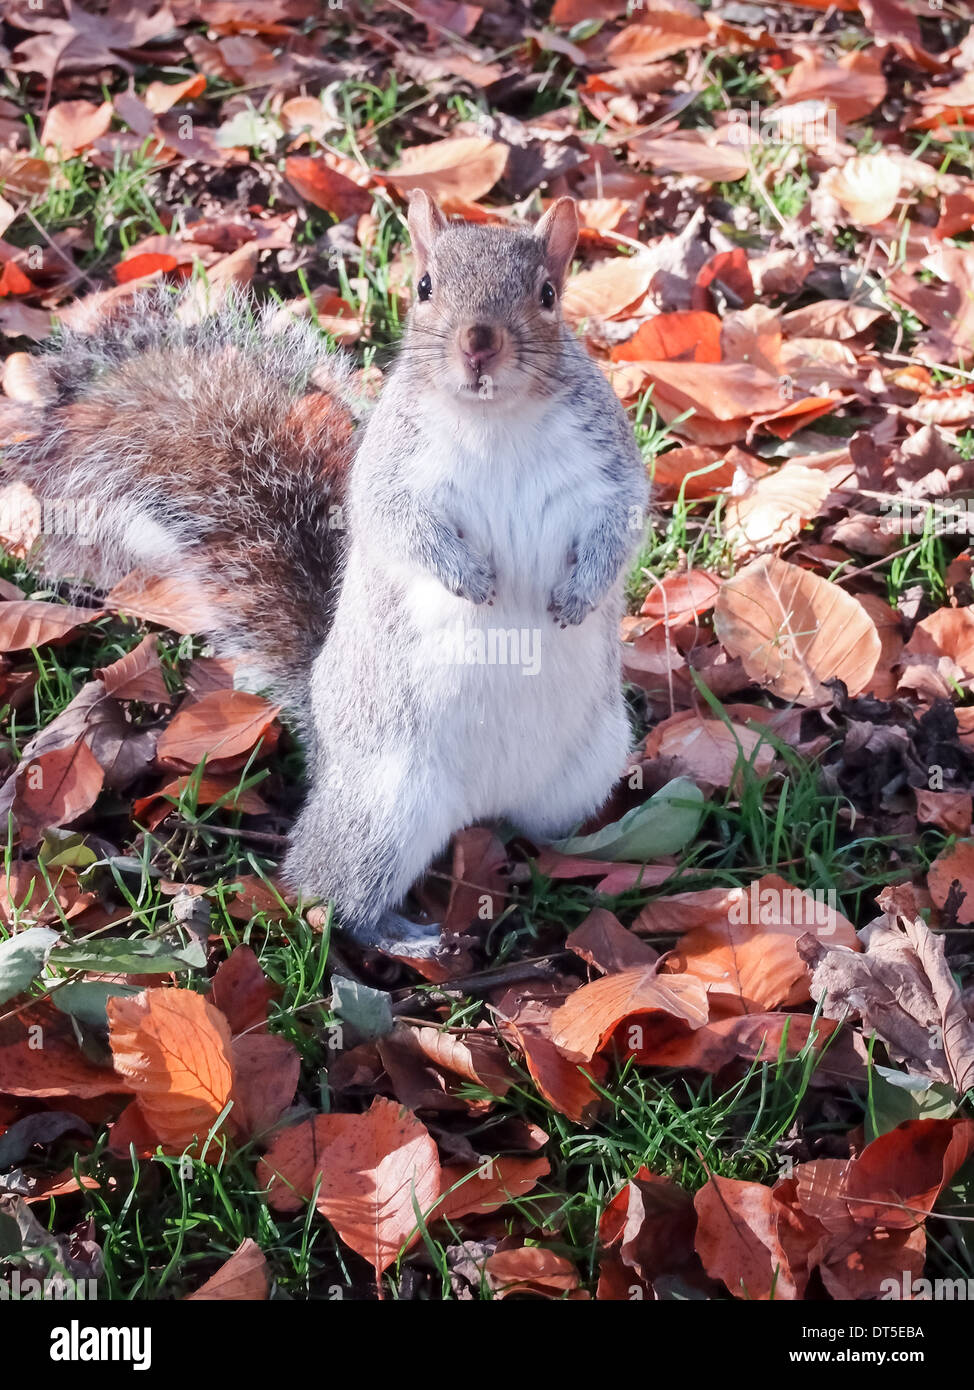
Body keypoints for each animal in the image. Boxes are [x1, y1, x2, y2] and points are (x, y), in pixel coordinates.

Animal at [1, 193, 649, 955]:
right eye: (424, 287)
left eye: (548, 295)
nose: (479, 344)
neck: (496, 420)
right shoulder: (390, 474)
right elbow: (401, 525)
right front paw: (468, 578)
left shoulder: (608, 469)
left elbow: (620, 524)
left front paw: (581, 593)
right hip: (383, 810)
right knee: (327, 892)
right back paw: (402, 935)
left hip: (585, 770)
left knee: (540, 832)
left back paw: (584, 858)